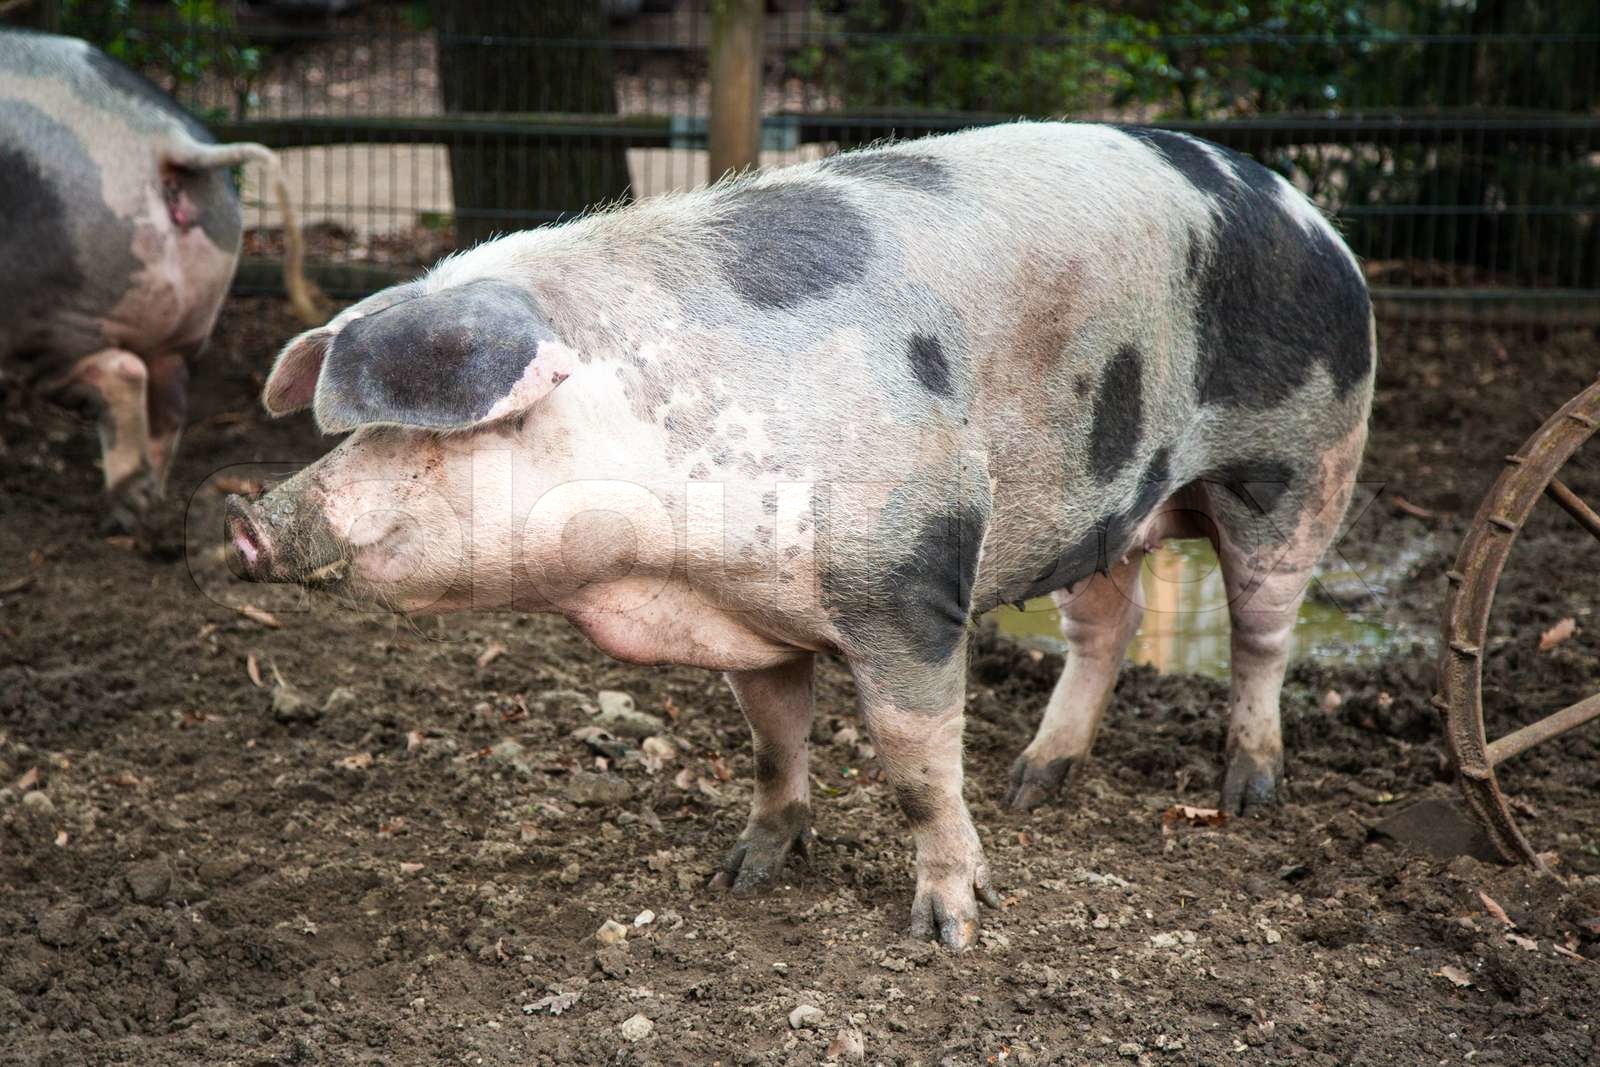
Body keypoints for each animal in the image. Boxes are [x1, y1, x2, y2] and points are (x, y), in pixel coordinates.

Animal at [0, 29, 319, 532]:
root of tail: (161, 139)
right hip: (184, 316)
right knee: (169, 400)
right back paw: (151, 504)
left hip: (50, 313)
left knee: (124, 374)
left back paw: (121, 515)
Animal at [228, 121, 1374, 948]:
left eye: (419, 435)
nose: (247, 520)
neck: (667, 561)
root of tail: (1310, 214)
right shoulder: (753, 614)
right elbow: (773, 740)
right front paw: (742, 872)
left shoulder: (909, 577)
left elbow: (917, 767)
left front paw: (951, 929)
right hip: (1101, 503)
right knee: (1110, 620)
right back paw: (1035, 781)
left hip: (1305, 461)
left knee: (1262, 627)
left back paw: (1248, 792)